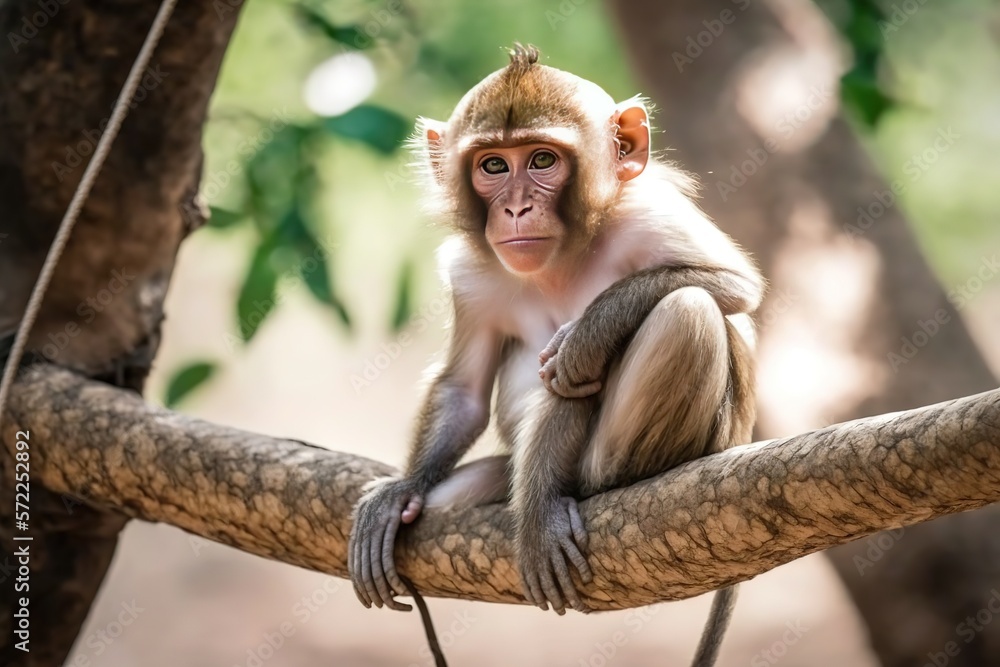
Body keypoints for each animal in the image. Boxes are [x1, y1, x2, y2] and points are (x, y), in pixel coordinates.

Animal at [348, 44, 763, 667]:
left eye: (542, 160)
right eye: (494, 166)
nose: (517, 209)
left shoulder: (649, 213)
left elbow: (735, 288)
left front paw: (585, 338)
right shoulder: (471, 273)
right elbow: (464, 391)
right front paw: (402, 489)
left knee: (688, 309)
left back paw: (598, 479)